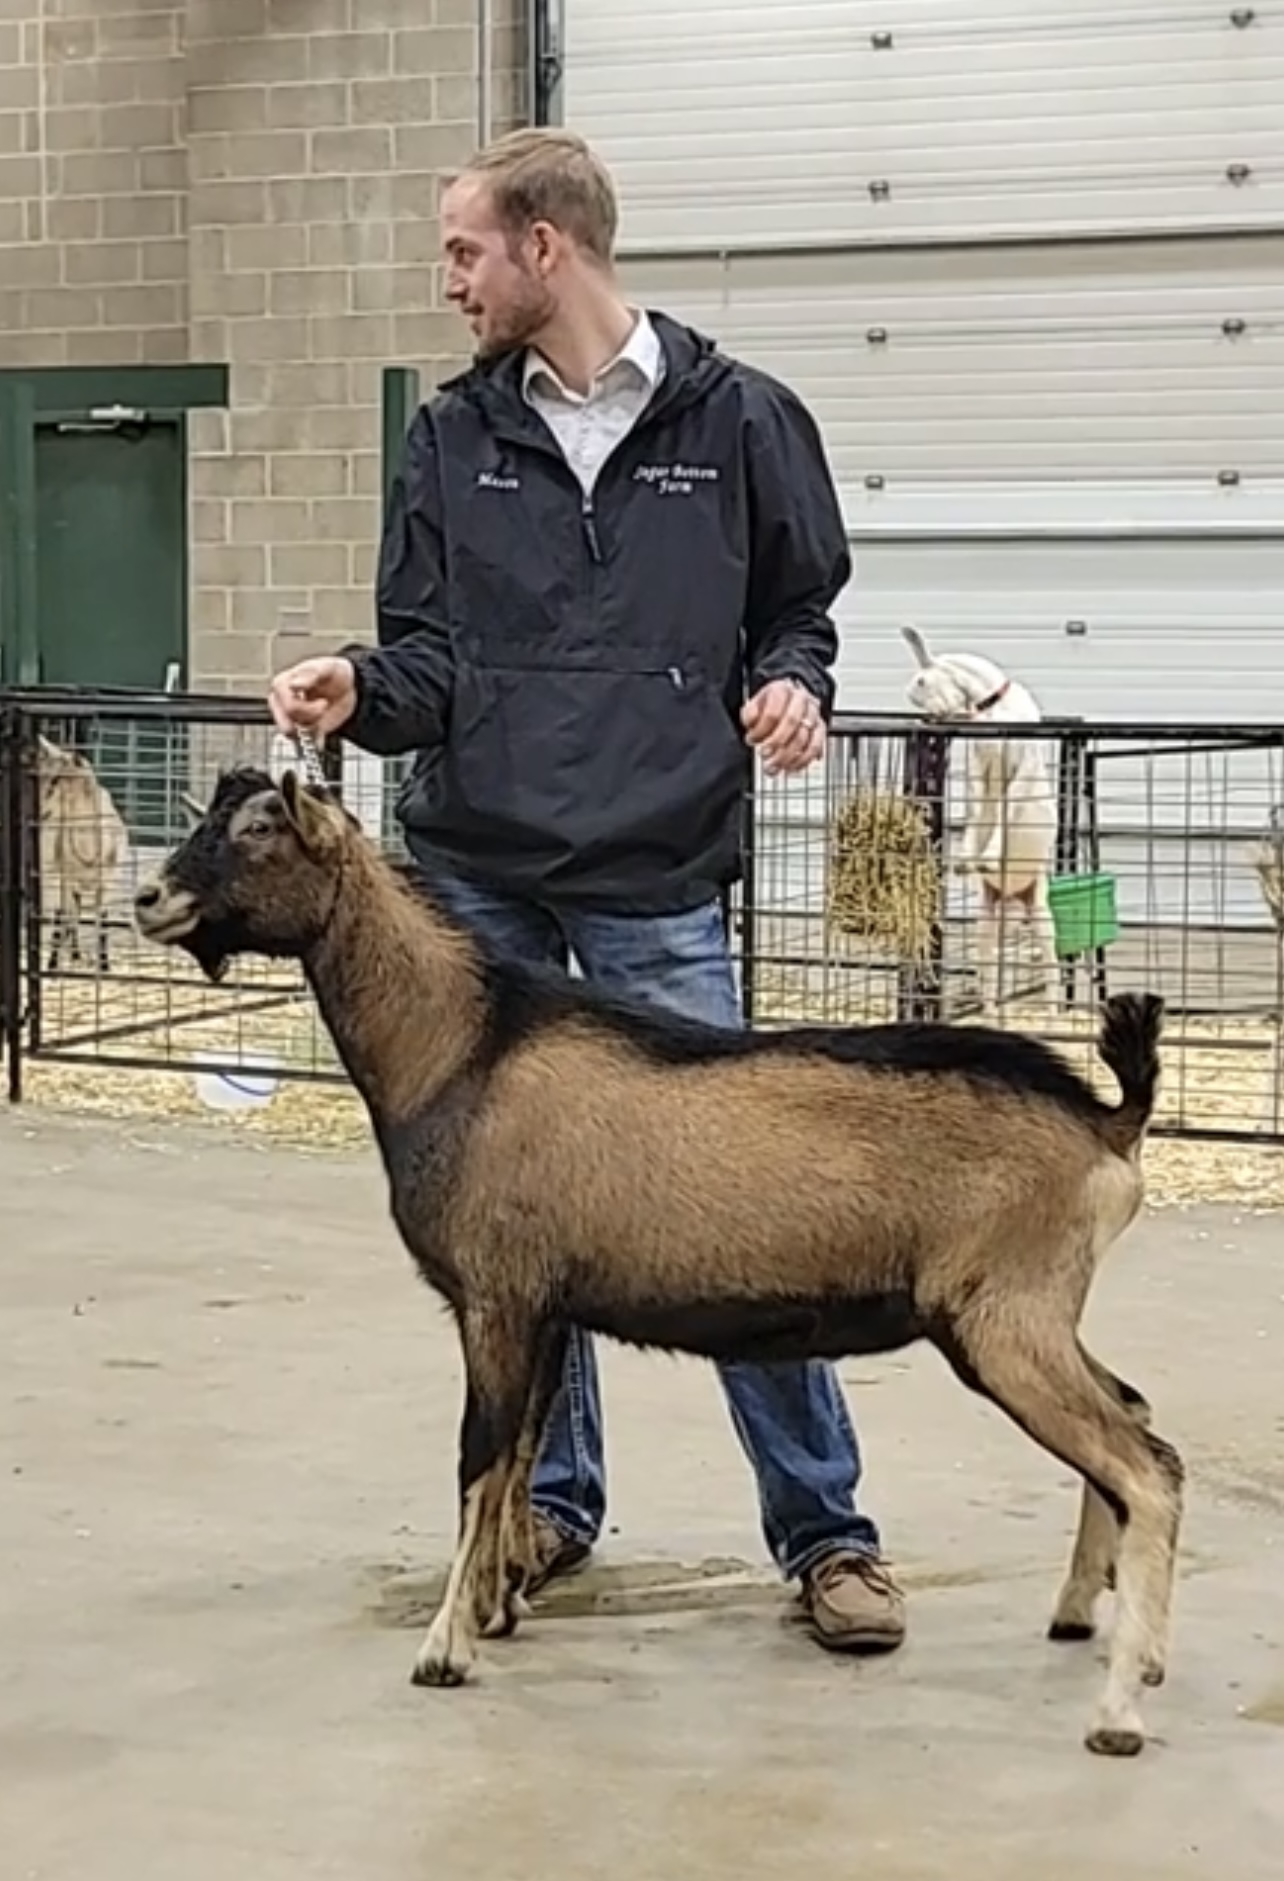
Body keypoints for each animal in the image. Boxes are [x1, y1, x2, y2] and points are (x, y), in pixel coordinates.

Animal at [33, 734, 128, 973]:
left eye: (56, 779)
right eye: (39, 775)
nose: (39, 812)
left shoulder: (107, 883)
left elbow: (102, 921)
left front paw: (104, 966)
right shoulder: (64, 877)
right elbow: (61, 917)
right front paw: (51, 964)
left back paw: (76, 955)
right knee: (68, 914)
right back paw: (70, 955)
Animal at [132, 765, 1178, 1760]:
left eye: (259, 829)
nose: (149, 897)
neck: (463, 1049)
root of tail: (1107, 1123)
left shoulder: (494, 1295)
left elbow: (477, 1456)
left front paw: (444, 1646)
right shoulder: (545, 1304)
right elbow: (519, 1456)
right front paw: (499, 1605)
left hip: (1005, 1319)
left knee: (1145, 1467)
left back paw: (1119, 1710)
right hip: (1035, 1315)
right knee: (1136, 1415)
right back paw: (1092, 1619)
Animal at [901, 625, 1059, 1013]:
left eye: (922, 681)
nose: (929, 719)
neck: (995, 710)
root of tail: (1012, 900)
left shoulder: (1021, 766)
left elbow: (1004, 809)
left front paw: (986, 858)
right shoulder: (979, 763)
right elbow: (978, 807)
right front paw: (964, 860)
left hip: (1041, 909)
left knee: (1051, 964)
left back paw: (1052, 1012)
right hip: (987, 918)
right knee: (988, 964)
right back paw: (991, 1010)